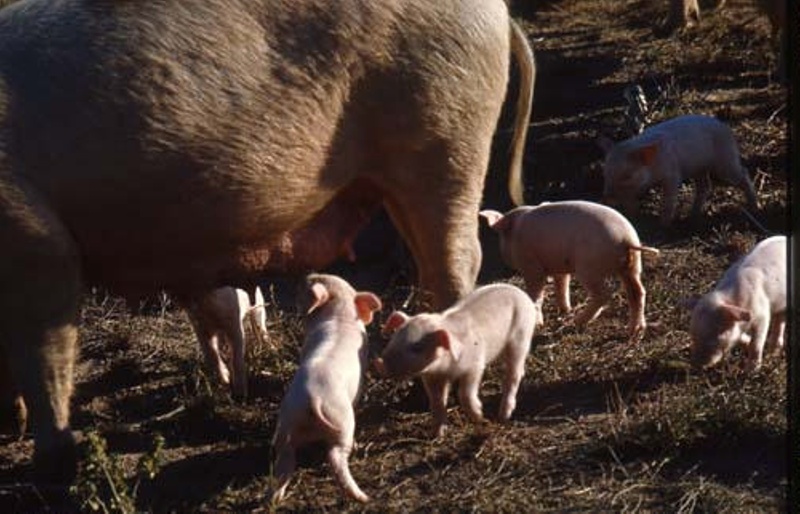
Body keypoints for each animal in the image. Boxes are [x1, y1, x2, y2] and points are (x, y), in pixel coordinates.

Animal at [270, 274, 382, 504]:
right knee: (336, 458)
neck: (339, 316)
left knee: (285, 460)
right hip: (342, 420)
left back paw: (274, 499)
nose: (304, 277)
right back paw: (363, 497)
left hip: (287, 423)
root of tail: (313, 397)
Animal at [375, 283, 536, 437]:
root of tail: (522, 294)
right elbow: (437, 402)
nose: (380, 363)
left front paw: (479, 416)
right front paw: (437, 435)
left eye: (417, 347)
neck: (446, 369)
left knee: (514, 374)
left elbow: (465, 393)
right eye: (395, 337)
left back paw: (503, 416)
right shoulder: (431, 377)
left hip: (521, 337)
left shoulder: (475, 365)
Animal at [480, 201, 659, 340]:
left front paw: (538, 323)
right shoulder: (559, 266)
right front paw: (565, 310)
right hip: (633, 266)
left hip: (588, 268)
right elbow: (562, 285)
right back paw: (635, 331)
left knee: (604, 294)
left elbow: (536, 294)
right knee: (637, 292)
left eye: (502, 235)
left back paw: (577, 322)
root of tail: (626, 240)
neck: (516, 230)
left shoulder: (531, 266)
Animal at [598, 114, 759, 227]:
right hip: (699, 168)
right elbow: (630, 204)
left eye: (627, 175)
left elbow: (668, 200)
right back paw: (692, 216)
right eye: (606, 173)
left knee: (743, 173)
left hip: (726, 161)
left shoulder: (673, 174)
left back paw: (754, 207)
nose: (607, 196)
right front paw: (633, 218)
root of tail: (725, 126)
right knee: (705, 186)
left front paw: (663, 225)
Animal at [687, 235, 786, 371]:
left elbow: (756, 344)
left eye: (714, 337)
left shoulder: (763, 314)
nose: (696, 365)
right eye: (693, 335)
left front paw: (752, 371)